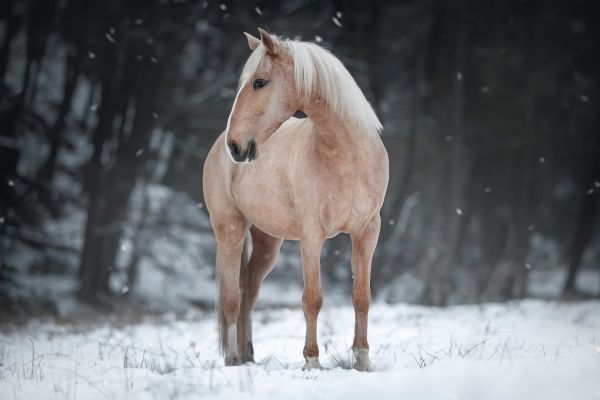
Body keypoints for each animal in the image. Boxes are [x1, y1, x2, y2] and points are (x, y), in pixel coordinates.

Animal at [203, 28, 390, 372]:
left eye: (260, 82)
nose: (236, 146)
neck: (345, 155)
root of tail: (216, 147)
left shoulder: (367, 231)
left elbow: (362, 296)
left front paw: (362, 360)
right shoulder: (312, 235)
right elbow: (312, 298)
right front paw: (312, 361)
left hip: (268, 243)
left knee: (248, 293)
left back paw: (248, 354)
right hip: (230, 231)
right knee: (232, 298)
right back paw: (234, 358)